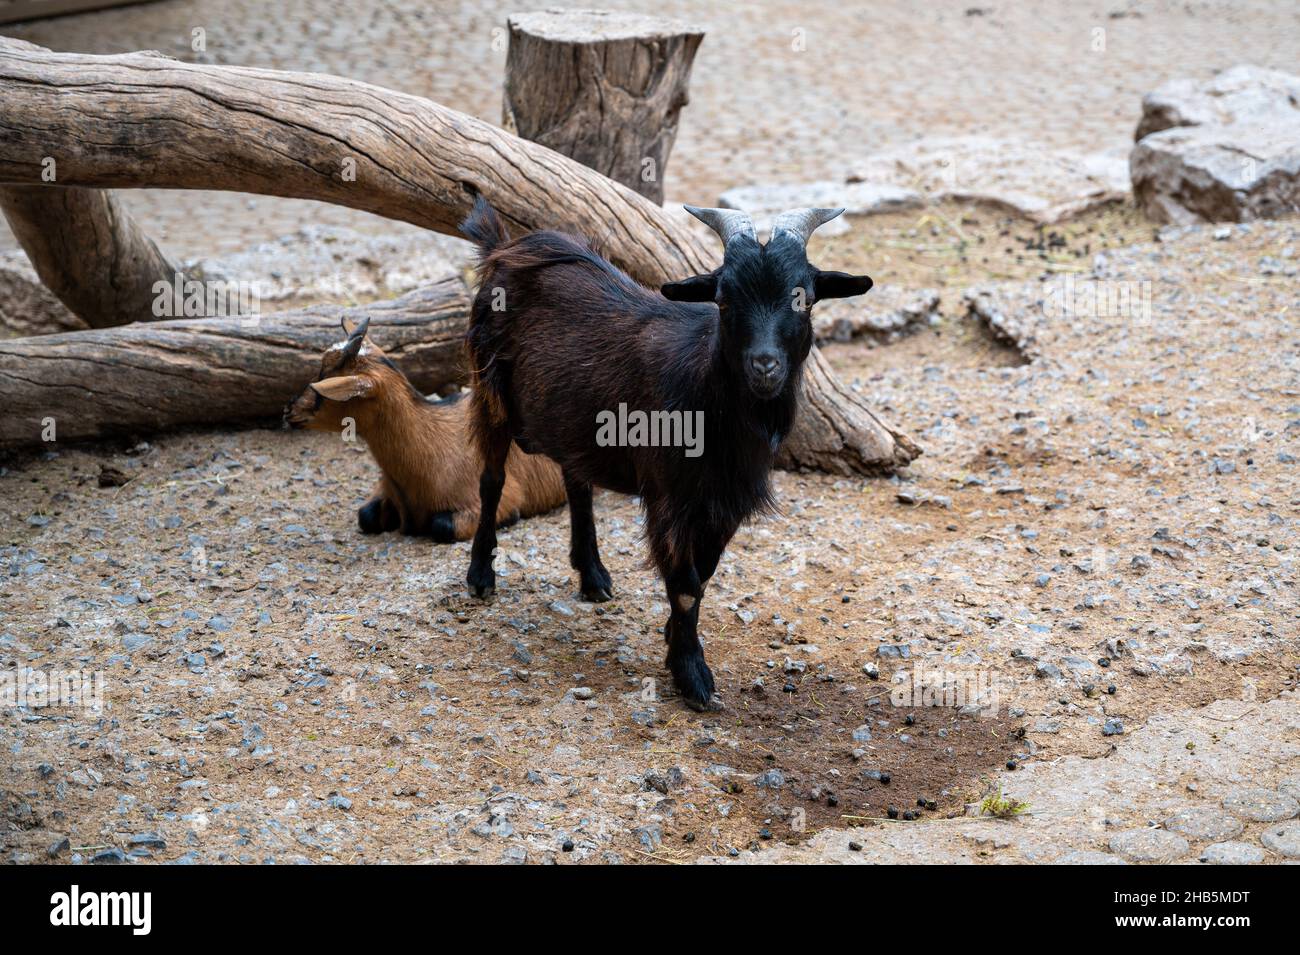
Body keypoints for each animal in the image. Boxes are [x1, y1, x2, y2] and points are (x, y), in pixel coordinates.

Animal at [284, 316, 566, 541]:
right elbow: (366, 515)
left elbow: (442, 525)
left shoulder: (495, 498)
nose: (290, 410)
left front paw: (510, 519)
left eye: (328, 382)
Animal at [460, 196, 873, 710]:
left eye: (804, 297)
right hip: (490, 392)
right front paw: (691, 674)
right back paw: (481, 576)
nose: (764, 366)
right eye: (723, 299)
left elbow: (704, 575)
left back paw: (592, 575)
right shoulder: (670, 496)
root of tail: (503, 247)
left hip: (572, 417)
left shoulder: (725, 500)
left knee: (576, 481)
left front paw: (674, 638)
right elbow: (685, 584)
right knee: (491, 480)